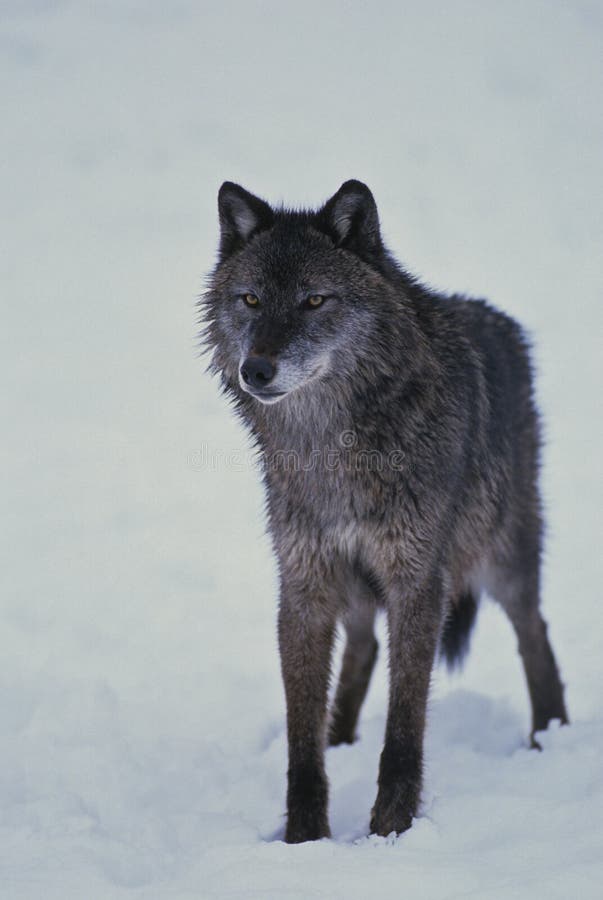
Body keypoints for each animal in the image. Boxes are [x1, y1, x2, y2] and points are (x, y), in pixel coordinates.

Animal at [201, 179, 568, 843]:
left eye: (314, 300)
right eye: (250, 298)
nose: (255, 369)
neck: (332, 449)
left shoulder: (417, 580)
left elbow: (404, 723)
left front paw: (390, 829)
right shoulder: (304, 583)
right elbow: (300, 730)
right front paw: (305, 836)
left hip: (504, 558)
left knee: (536, 633)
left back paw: (549, 737)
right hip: (358, 584)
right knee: (364, 646)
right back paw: (341, 739)